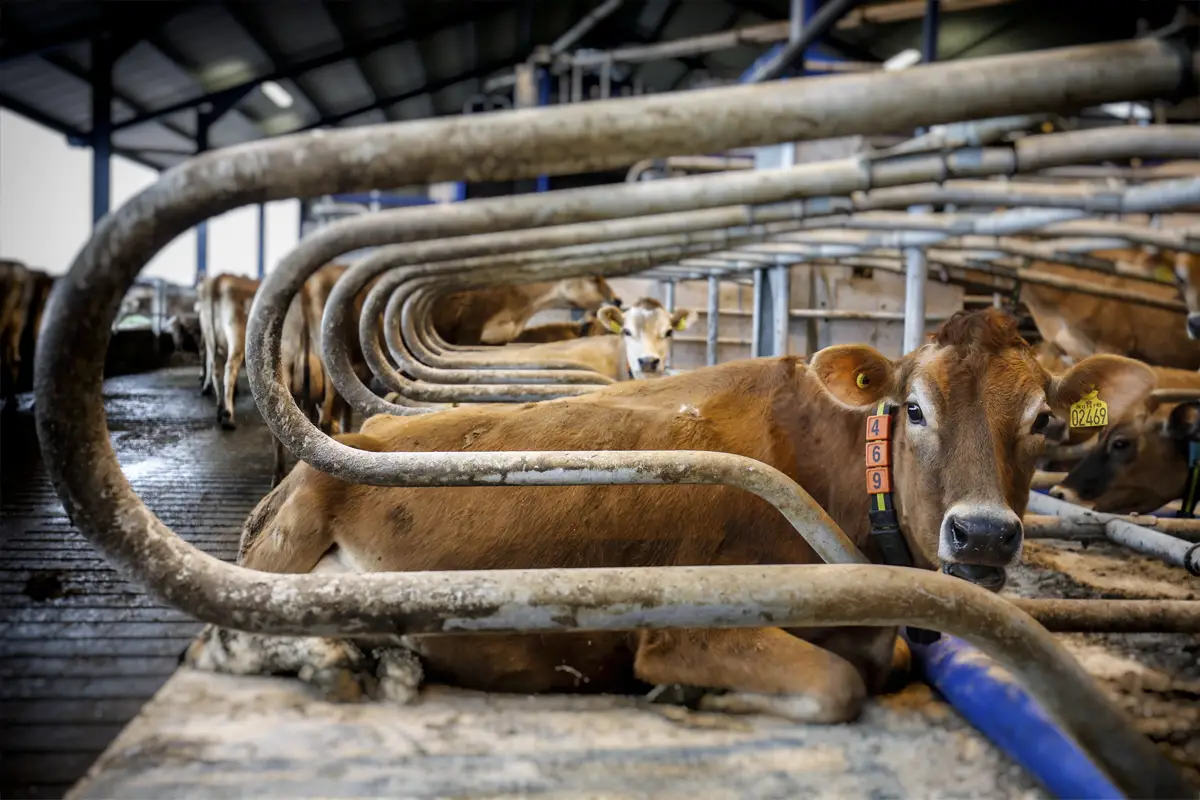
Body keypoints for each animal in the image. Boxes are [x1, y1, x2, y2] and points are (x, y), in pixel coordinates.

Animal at [183, 309, 1151, 723]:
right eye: (913, 408)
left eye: (1045, 421)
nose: (983, 533)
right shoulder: (685, 622)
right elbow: (835, 687)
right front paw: (690, 690)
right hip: (284, 555)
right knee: (217, 643)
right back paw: (340, 659)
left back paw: (377, 656)